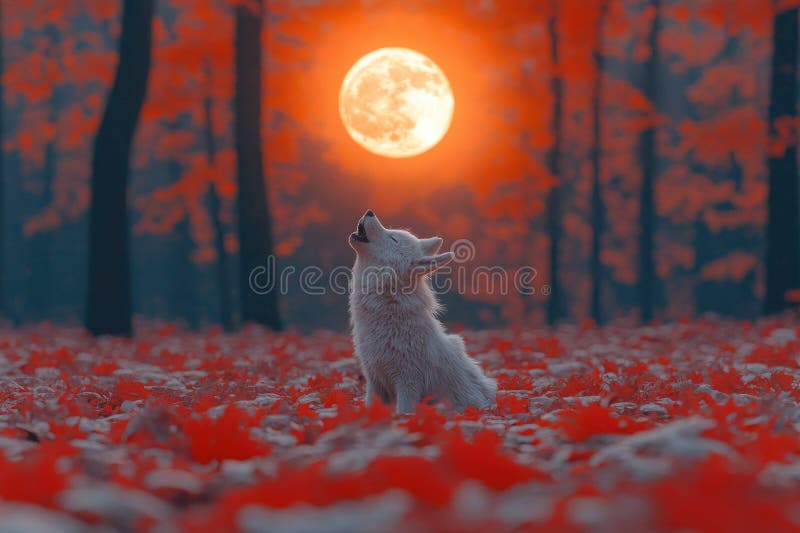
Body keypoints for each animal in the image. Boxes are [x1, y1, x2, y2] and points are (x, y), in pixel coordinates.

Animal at [348, 209, 497, 414]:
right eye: (391, 232)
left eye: (393, 238)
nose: (369, 212)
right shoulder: (374, 380)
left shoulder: (407, 381)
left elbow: (403, 413)